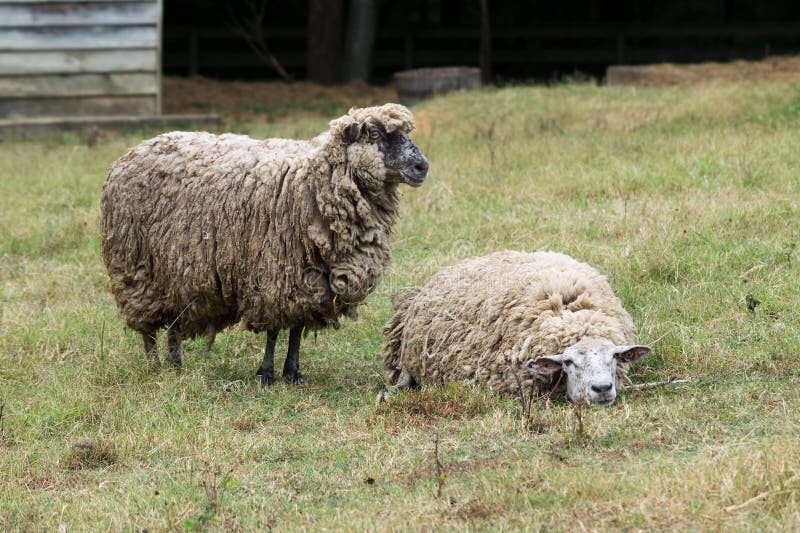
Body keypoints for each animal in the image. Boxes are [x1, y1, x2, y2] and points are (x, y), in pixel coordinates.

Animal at [101, 103, 429, 384]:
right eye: (374, 134)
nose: (422, 167)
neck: (315, 182)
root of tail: (132, 151)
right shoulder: (273, 274)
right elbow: (273, 331)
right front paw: (267, 374)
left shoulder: (308, 280)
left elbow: (296, 328)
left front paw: (293, 372)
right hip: (136, 269)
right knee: (149, 326)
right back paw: (154, 364)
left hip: (171, 272)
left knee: (172, 321)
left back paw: (175, 362)